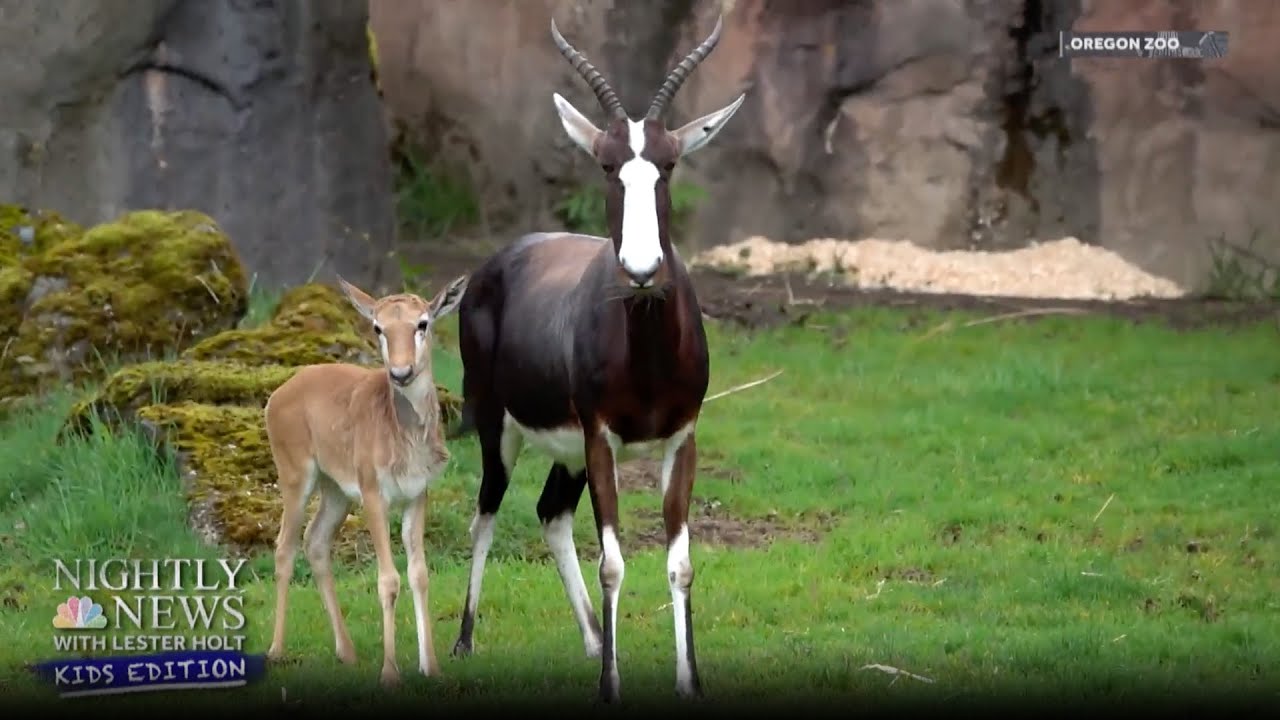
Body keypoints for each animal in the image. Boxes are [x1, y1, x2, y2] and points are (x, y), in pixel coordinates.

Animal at [263, 275, 467, 688]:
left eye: (423, 323)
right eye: (378, 327)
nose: (401, 372)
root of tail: (272, 399)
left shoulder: (418, 494)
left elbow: (420, 574)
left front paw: (431, 667)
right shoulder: (374, 491)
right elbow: (388, 579)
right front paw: (390, 672)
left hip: (336, 489)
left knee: (315, 541)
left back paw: (347, 652)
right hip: (295, 472)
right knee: (284, 547)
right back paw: (276, 650)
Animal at [448, 13, 745, 703]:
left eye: (668, 163)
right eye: (608, 165)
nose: (641, 269)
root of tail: (498, 262)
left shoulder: (681, 439)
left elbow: (680, 562)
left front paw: (688, 680)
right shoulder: (602, 437)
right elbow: (612, 561)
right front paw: (612, 687)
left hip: (568, 451)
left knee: (550, 512)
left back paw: (590, 641)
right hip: (501, 429)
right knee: (485, 513)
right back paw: (464, 641)